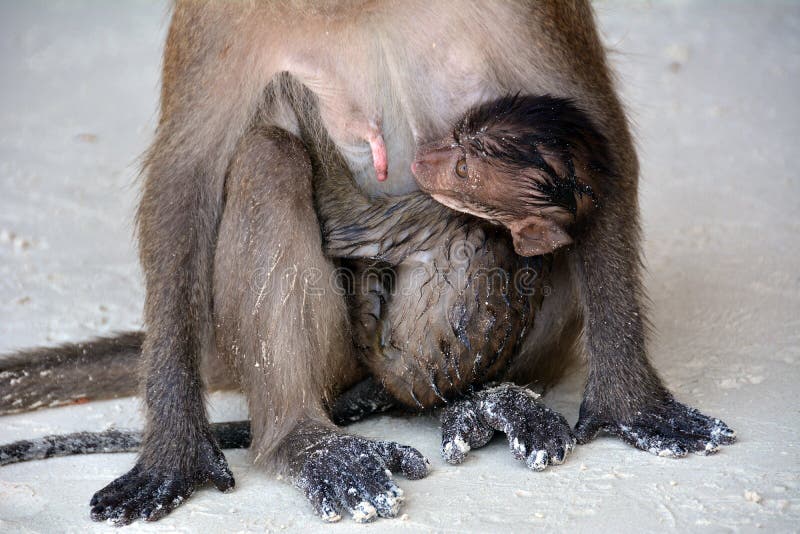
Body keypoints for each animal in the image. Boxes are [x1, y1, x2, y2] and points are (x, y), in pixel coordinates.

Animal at [0, 0, 736, 526]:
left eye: (467, 161)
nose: (434, 158)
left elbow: (598, 132)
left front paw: (631, 403)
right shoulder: (211, 12)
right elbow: (185, 183)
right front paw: (175, 449)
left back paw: (484, 401)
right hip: (320, 355)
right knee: (267, 158)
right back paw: (303, 439)